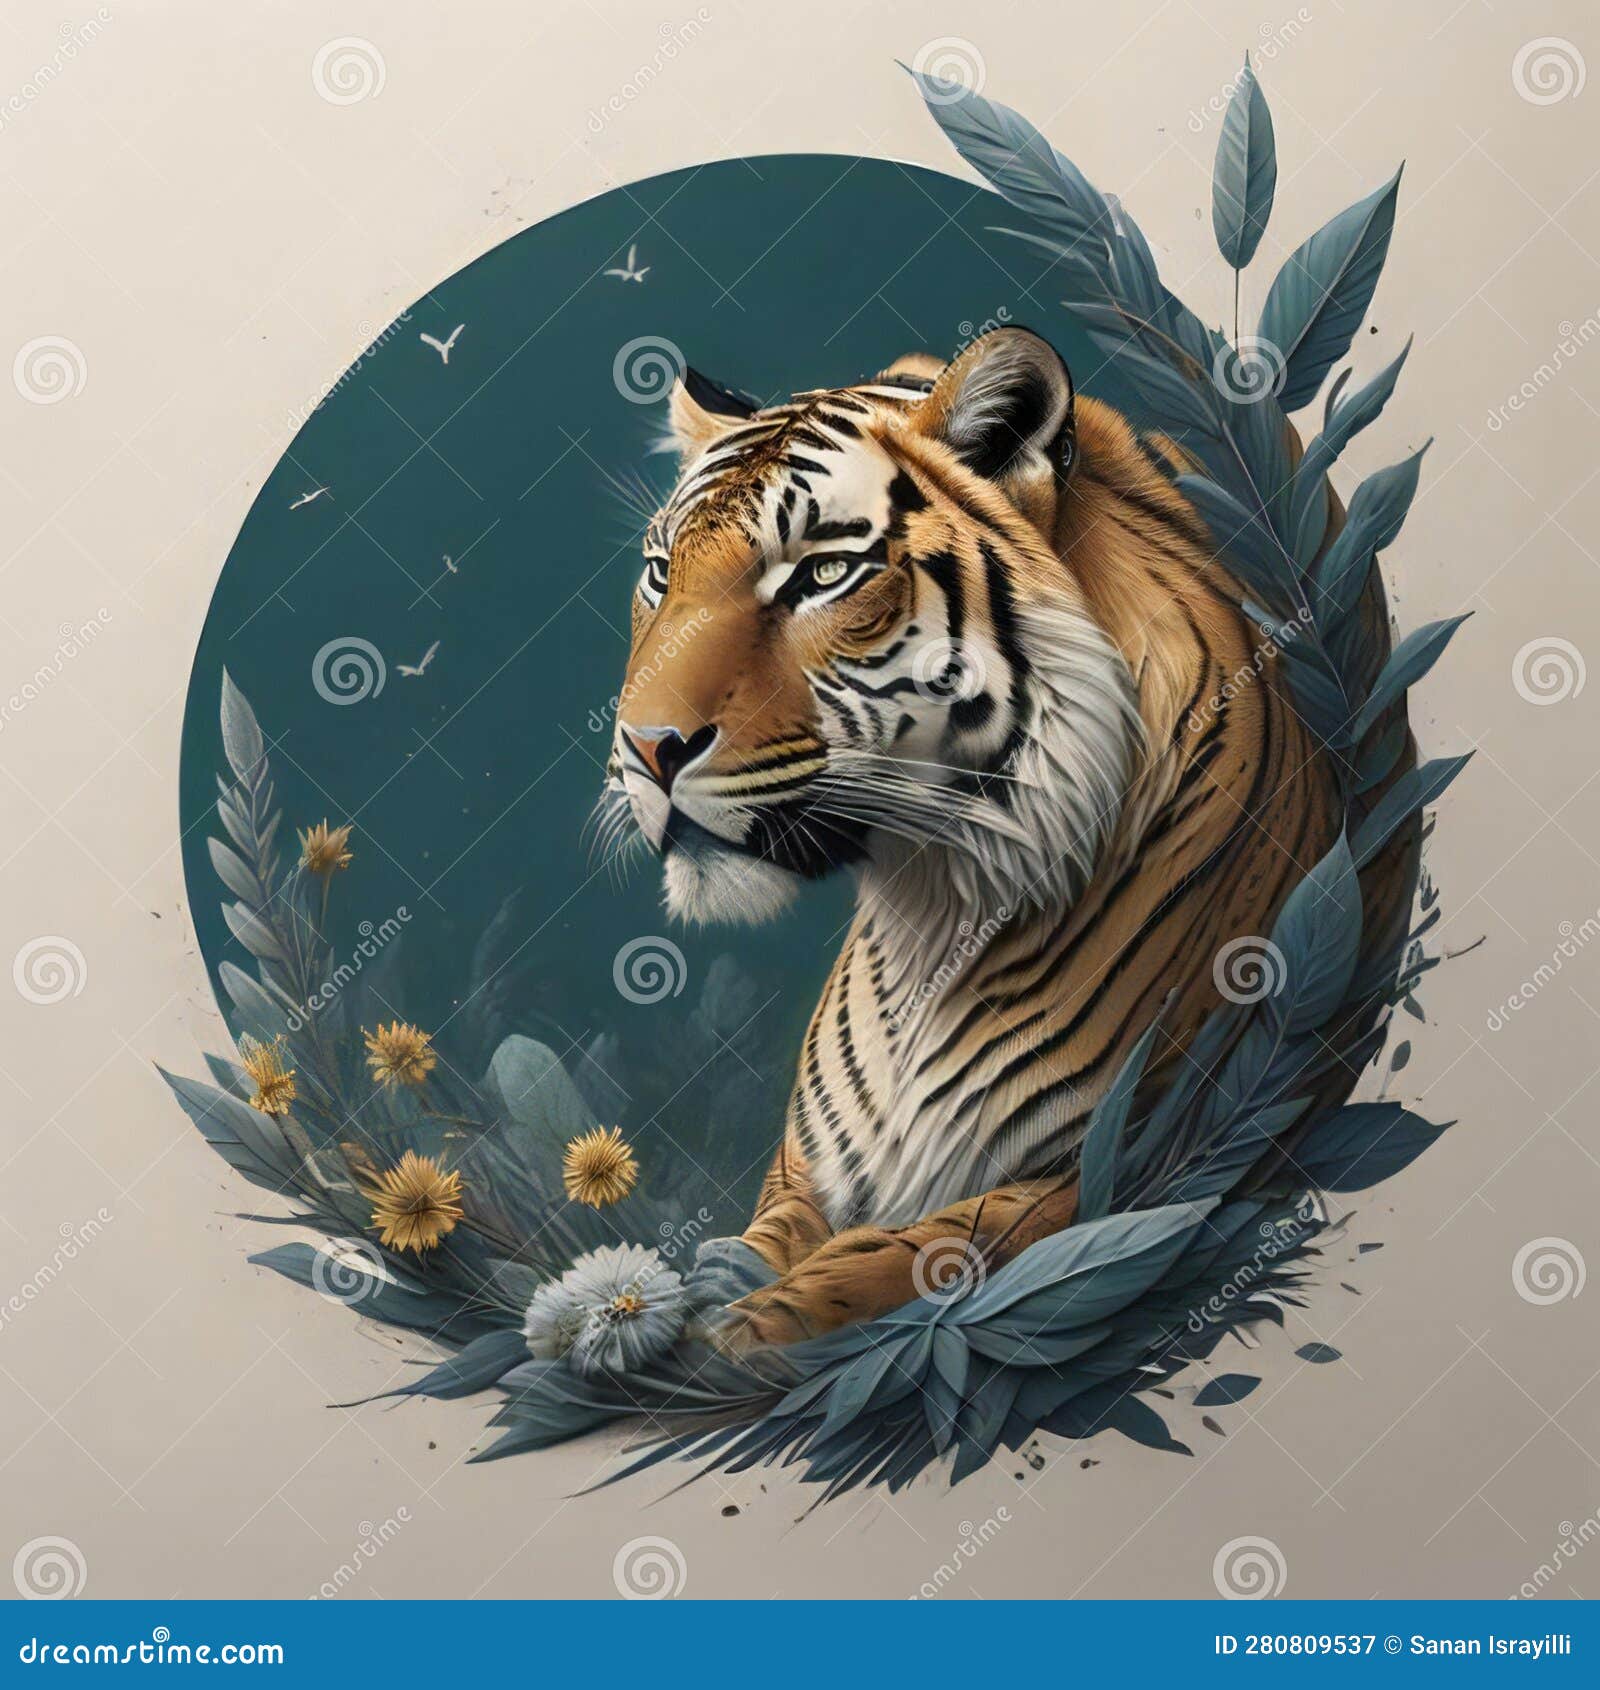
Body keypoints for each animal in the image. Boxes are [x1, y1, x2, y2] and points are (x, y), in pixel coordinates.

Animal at [596, 326, 1415, 1353]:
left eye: (822, 575)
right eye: (662, 573)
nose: (644, 747)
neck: (928, 905)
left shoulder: (1124, 1159)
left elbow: (906, 1258)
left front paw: (737, 1330)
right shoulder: (806, 1174)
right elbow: (783, 1235)